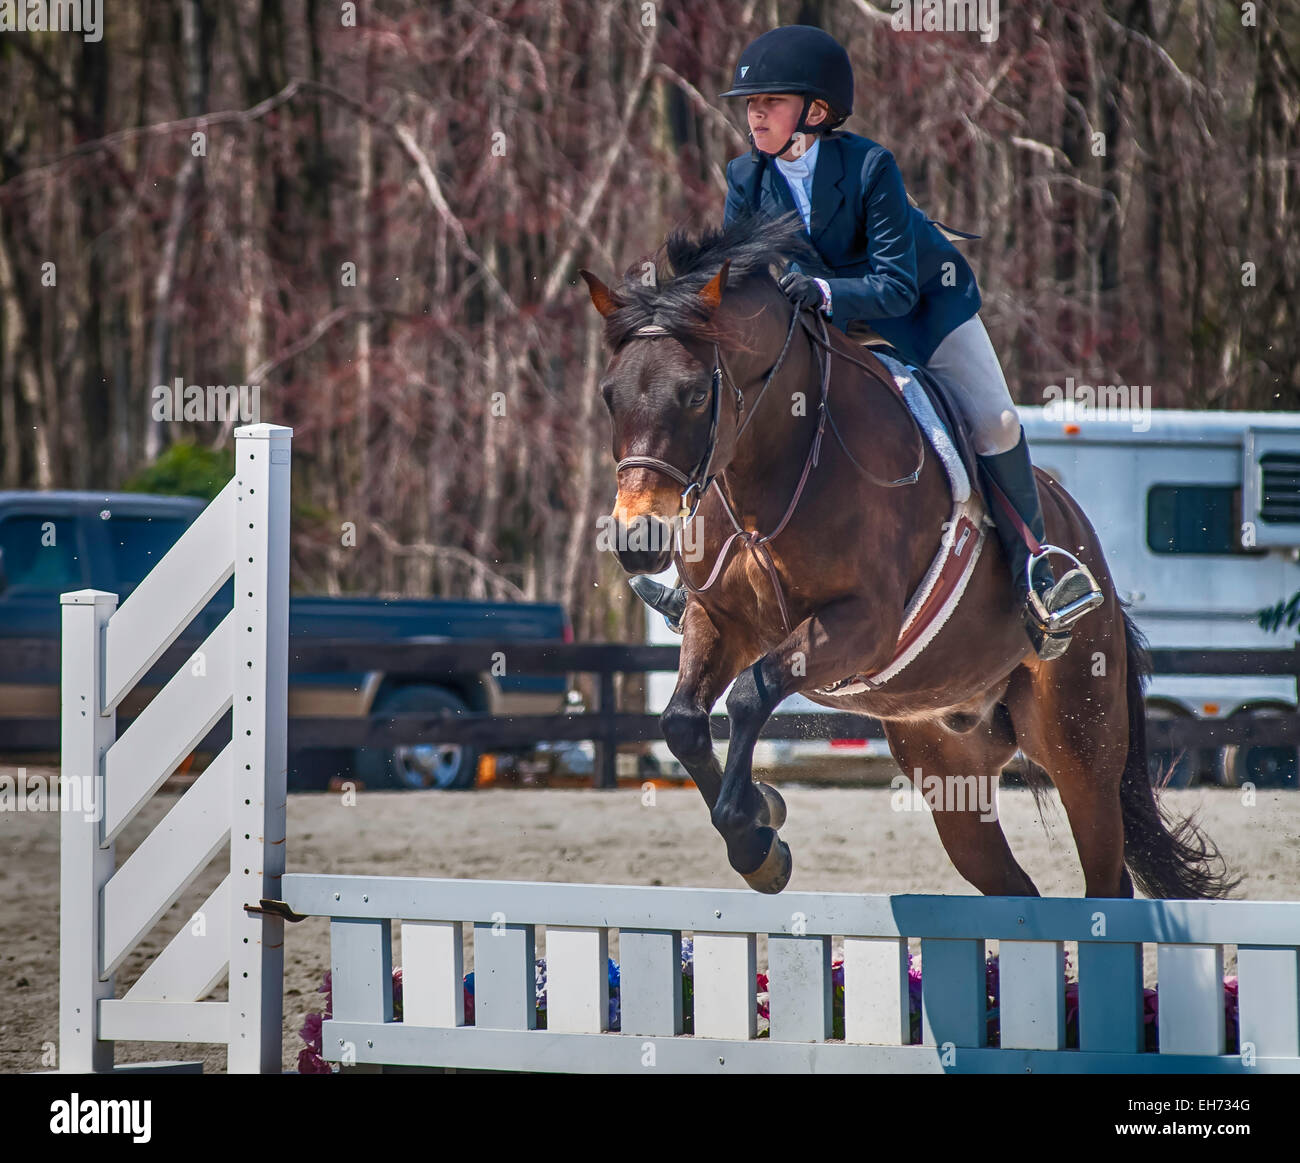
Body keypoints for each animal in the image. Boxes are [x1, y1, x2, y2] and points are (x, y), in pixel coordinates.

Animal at [579, 212, 1237, 901]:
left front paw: (756, 836)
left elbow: (751, 696)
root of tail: (1091, 563)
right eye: (609, 395)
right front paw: (763, 821)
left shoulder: (861, 624)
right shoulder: (720, 618)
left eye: (695, 396)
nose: (636, 543)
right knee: (1015, 890)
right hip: (948, 764)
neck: (776, 466)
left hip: (1081, 743)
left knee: (1104, 877)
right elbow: (682, 720)